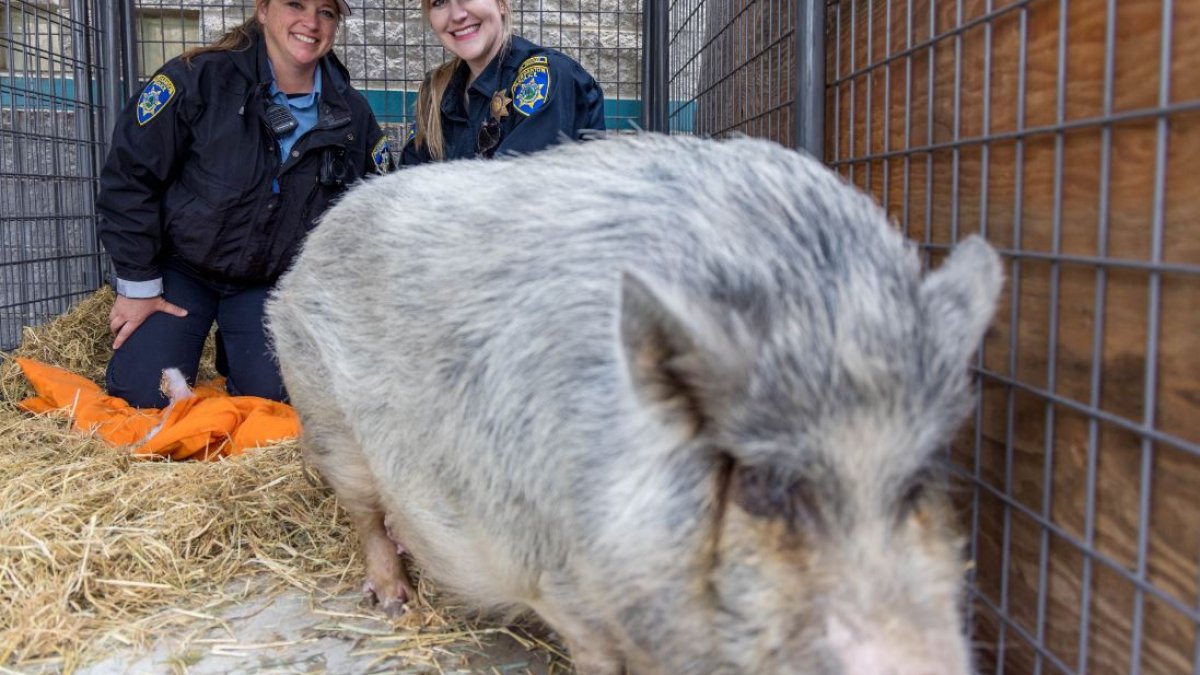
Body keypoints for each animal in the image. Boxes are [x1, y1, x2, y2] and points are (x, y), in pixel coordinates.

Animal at [265, 133, 1003, 675]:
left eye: (917, 482)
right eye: (766, 486)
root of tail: (311, 245)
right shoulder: (557, 576)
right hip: (326, 412)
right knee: (366, 513)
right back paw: (391, 602)